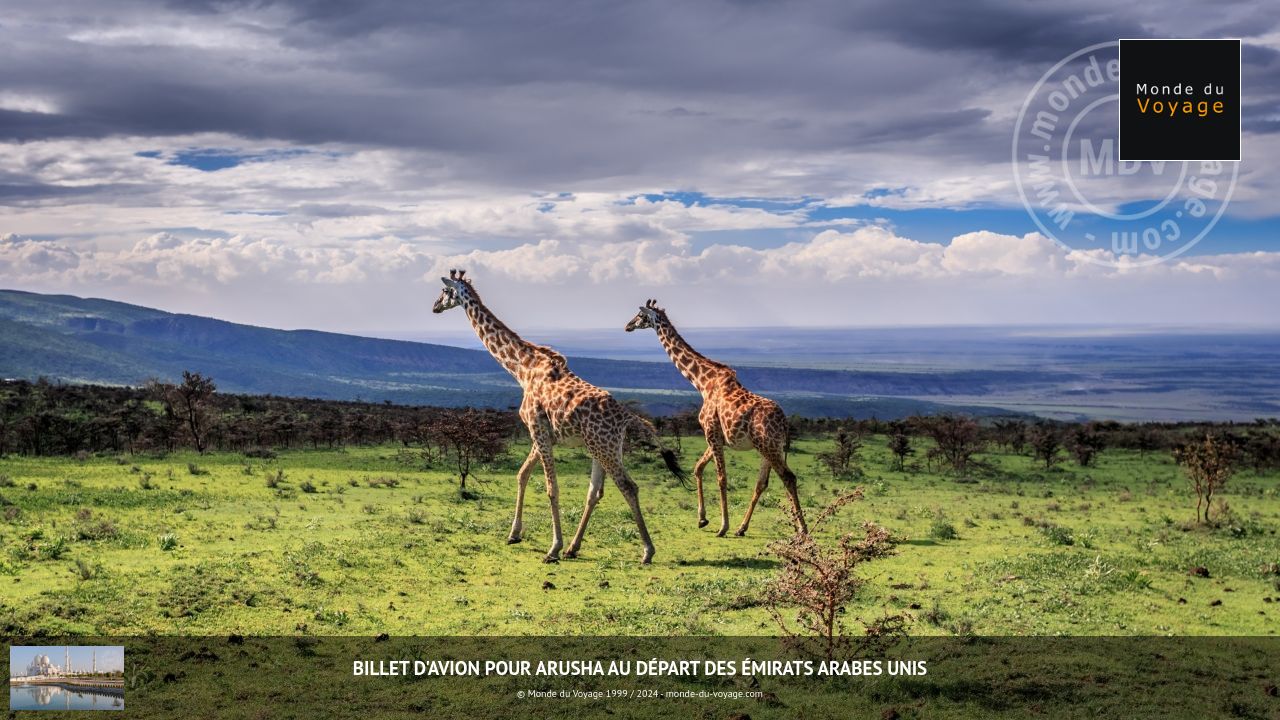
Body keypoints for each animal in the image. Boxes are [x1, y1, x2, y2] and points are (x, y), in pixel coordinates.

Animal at [432, 267, 691, 561]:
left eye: (445, 291)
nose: (434, 307)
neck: (522, 369)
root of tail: (627, 416)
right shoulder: (543, 434)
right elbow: (522, 475)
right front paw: (514, 534)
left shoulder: (537, 429)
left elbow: (551, 488)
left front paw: (552, 548)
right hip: (602, 447)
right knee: (595, 492)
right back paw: (573, 547)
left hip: (604, 448)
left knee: (628, 486)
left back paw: (646, 551)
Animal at [622, 297, 808, 532]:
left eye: (640, 315)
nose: (627, 326)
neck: (702, 383)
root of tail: (784, 423)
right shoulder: (718, 437)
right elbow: (698, 468)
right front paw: (702, 518)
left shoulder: (711, 432)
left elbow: (721, 477)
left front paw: (722, 526)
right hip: (769, 447)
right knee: (762, 483)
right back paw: (742, 528)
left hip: (769, 446)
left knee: (788, 477)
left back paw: (802, 529)